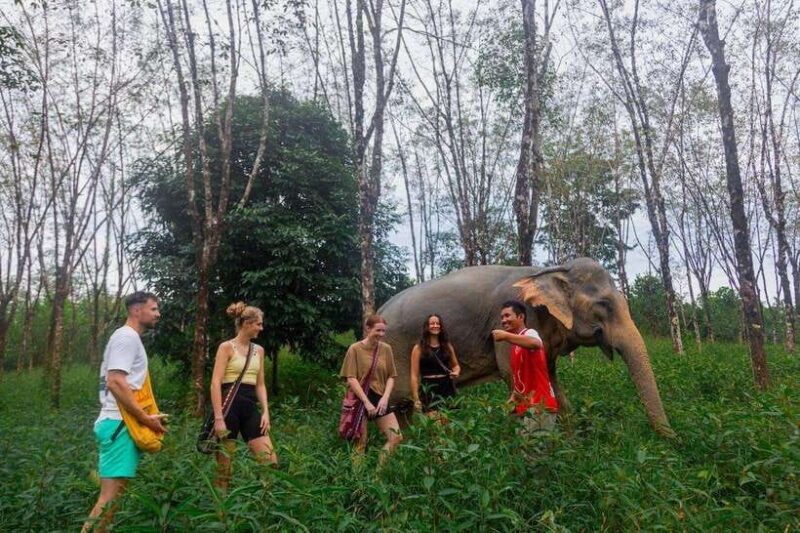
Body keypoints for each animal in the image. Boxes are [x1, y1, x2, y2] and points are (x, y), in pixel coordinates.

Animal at [378, 257, 675, 438]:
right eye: (604, 305)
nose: (673, 443)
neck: (550, 270)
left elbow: (551, 381)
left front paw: (572, 445)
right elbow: (513, 375)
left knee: (402, 411)